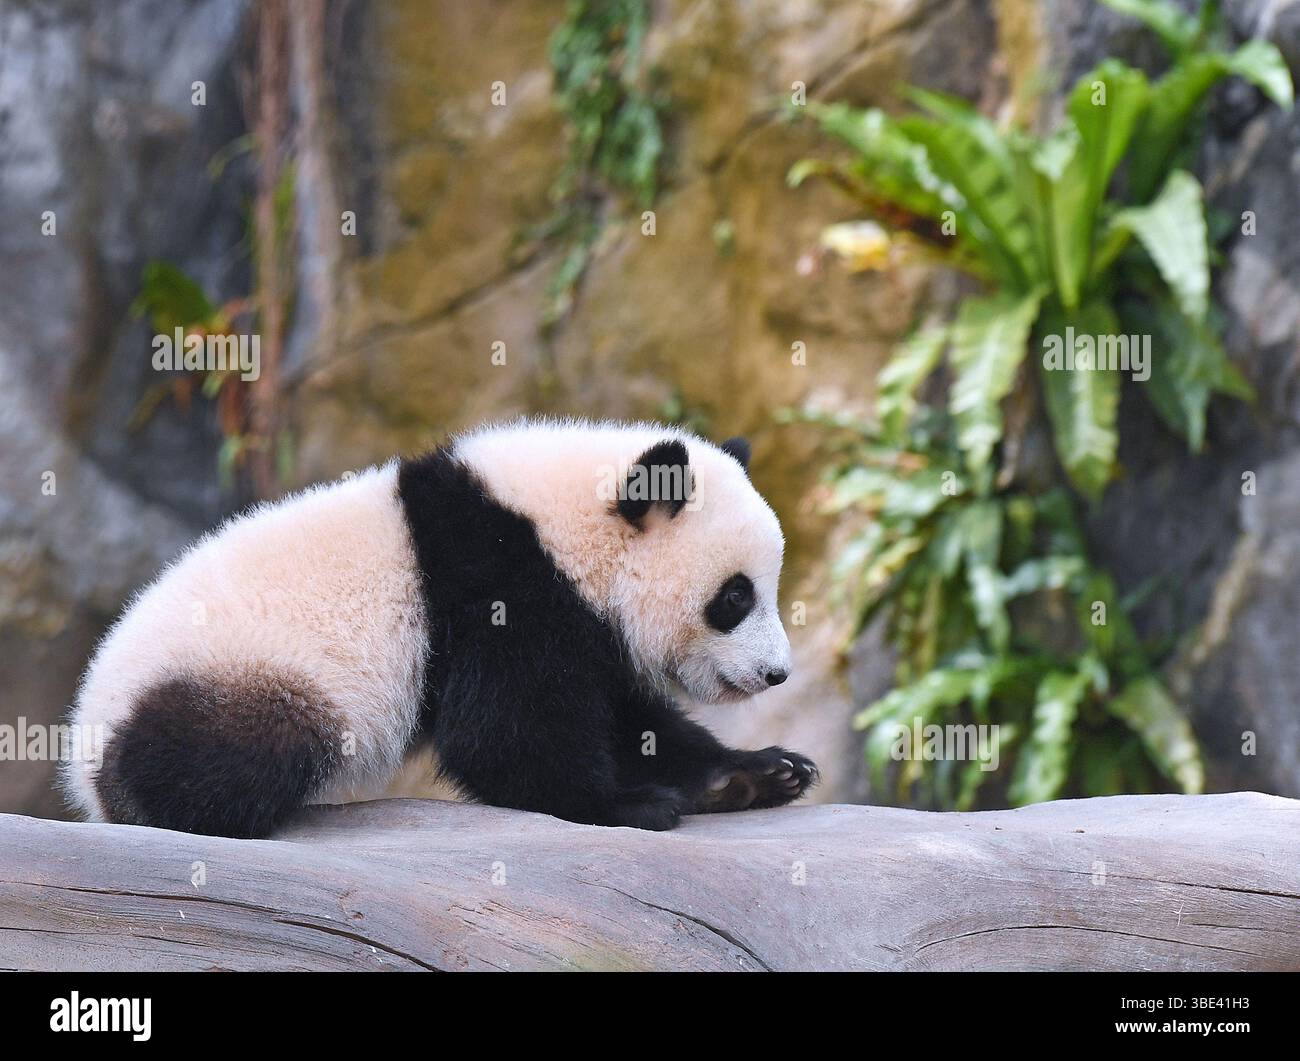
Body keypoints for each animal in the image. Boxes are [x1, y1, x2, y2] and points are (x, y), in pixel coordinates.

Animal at [63, 418, 818, 838]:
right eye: (735, 596)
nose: (776, 673)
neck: (561, 525)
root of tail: (85, 754)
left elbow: (631, 718)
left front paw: (760, 772)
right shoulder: (499, 584)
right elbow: (503, 732)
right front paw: (624, 804)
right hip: (237, 674)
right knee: (247, 747)